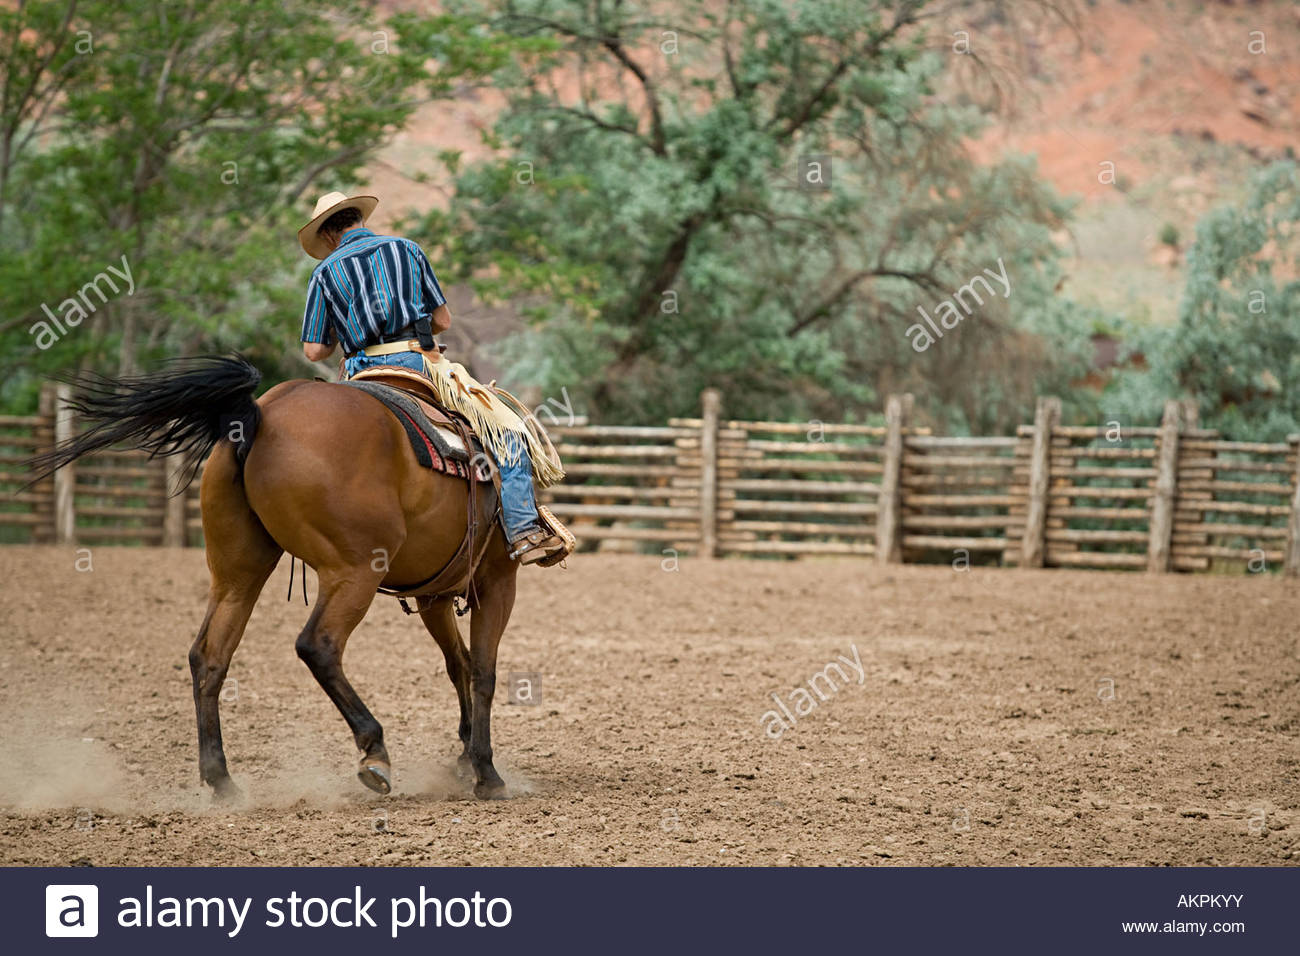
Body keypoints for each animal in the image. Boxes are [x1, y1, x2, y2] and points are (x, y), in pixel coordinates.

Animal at [30, 355, 517, 800]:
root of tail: (262, 414)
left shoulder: (434, 592)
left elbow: (460, 663)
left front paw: (464, 758)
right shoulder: (497, 580)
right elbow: (484, 670)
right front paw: (486, 772)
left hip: (237, 573)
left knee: (209, 655)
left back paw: (221, 779)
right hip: (354, 571)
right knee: (317, 645)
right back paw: (374, 752)